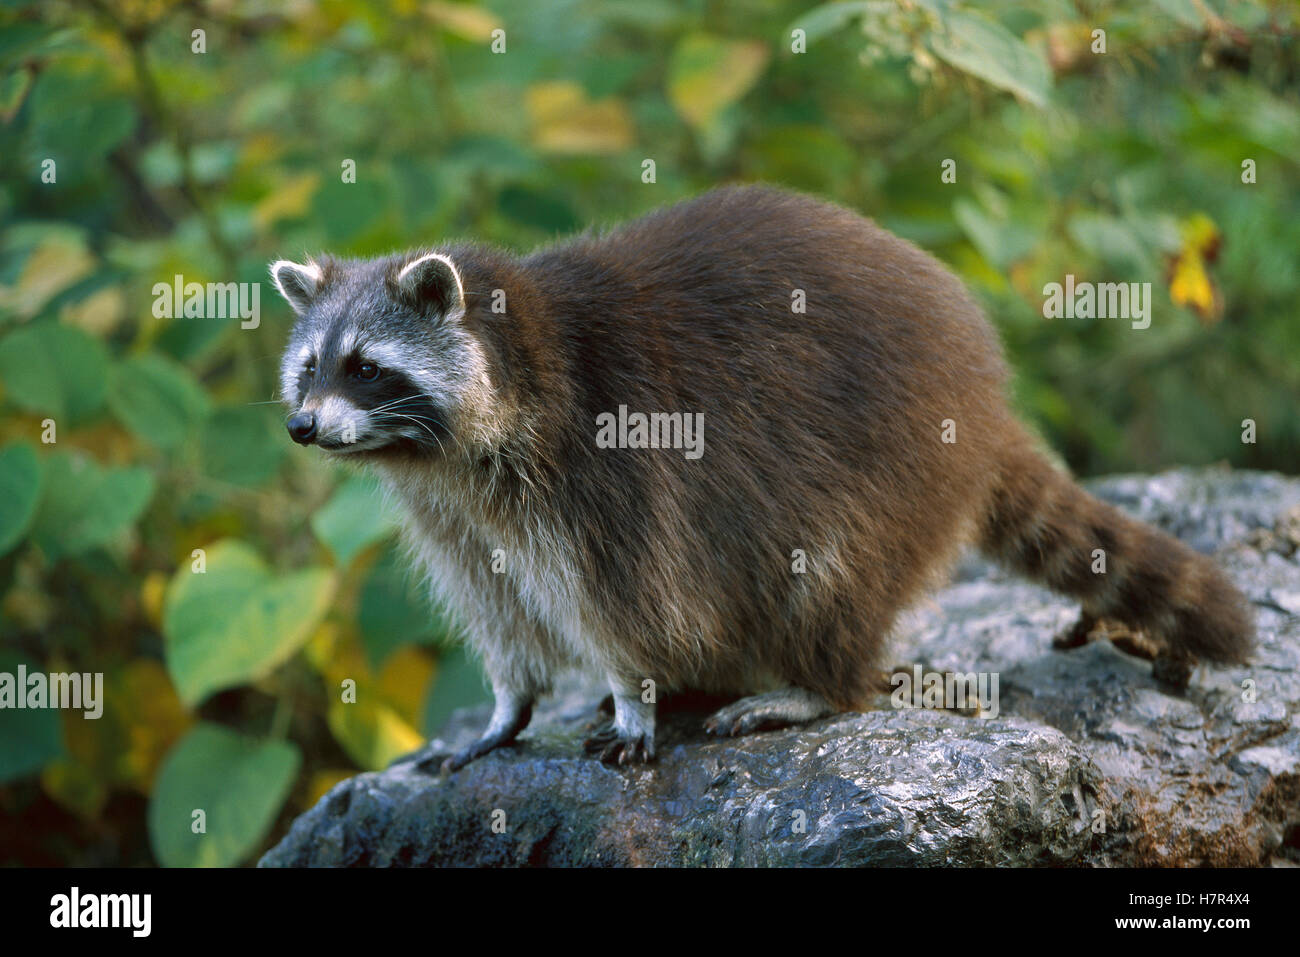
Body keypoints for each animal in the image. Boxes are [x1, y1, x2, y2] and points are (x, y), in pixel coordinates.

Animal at [272, 185, 1254, 769]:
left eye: (364, 367)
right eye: (311, 366)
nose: (301, 427)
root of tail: (984, 402)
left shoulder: (603, 467)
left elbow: (629, 598)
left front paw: (633, 694)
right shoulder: (460, 511)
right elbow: (500, 602)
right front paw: (509, 706)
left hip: (889, 461)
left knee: (827, 574)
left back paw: (815, 684)